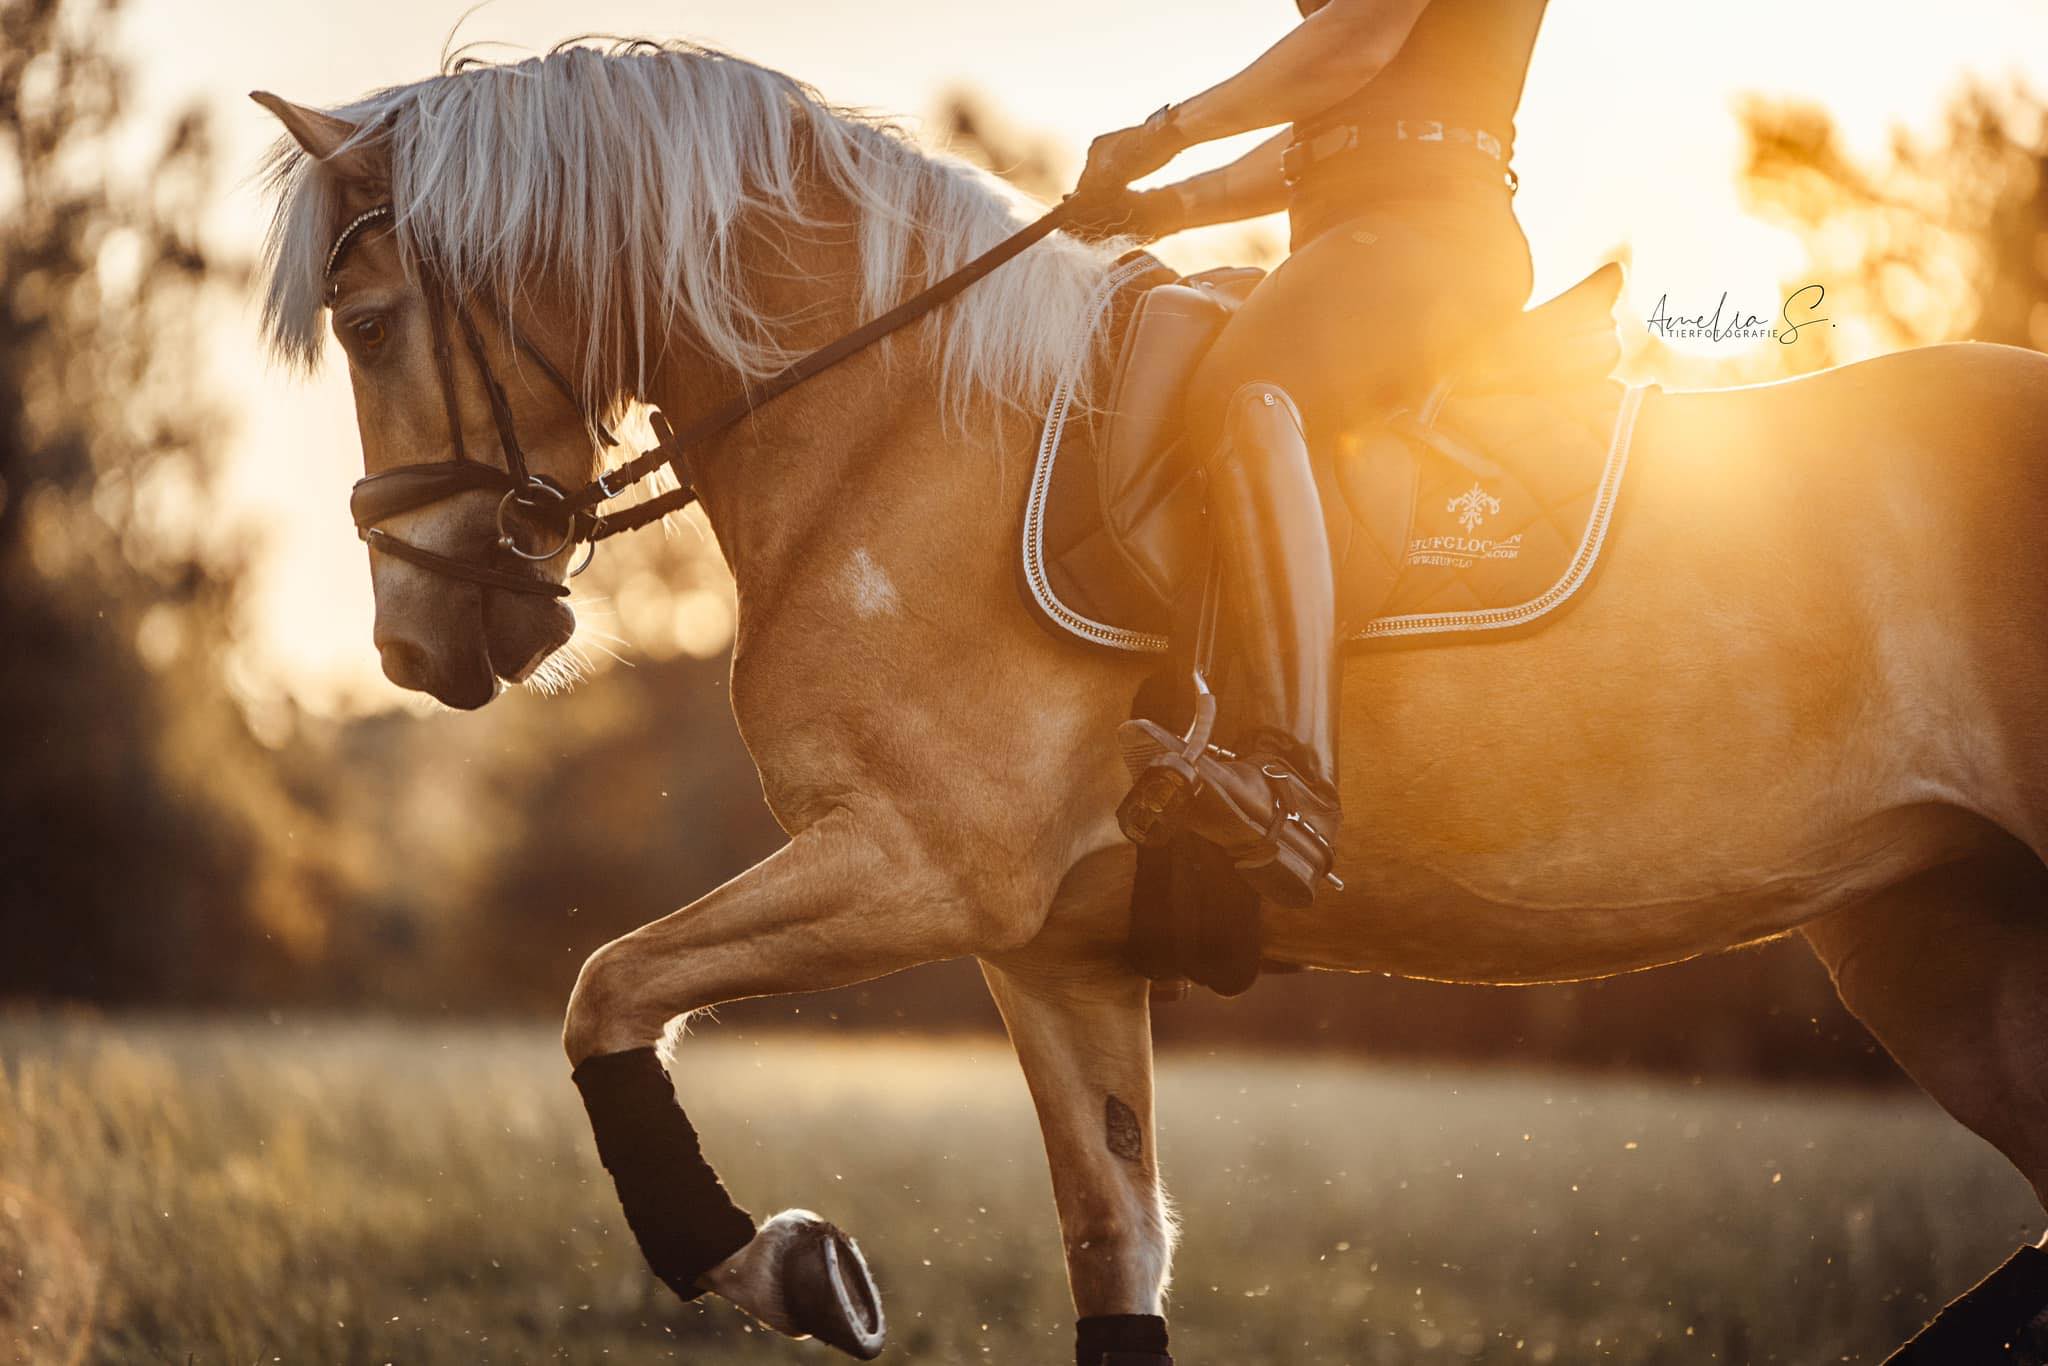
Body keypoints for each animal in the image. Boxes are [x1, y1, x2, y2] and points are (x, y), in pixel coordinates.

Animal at [256, 39, 2048, 1362]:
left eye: (369, 319)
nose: (418, 643)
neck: (897, 430)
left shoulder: (922, 867)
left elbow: (605, 988)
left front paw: (781, 1265)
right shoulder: (1049, 946)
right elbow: (1114, 1245)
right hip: (1928, 934)